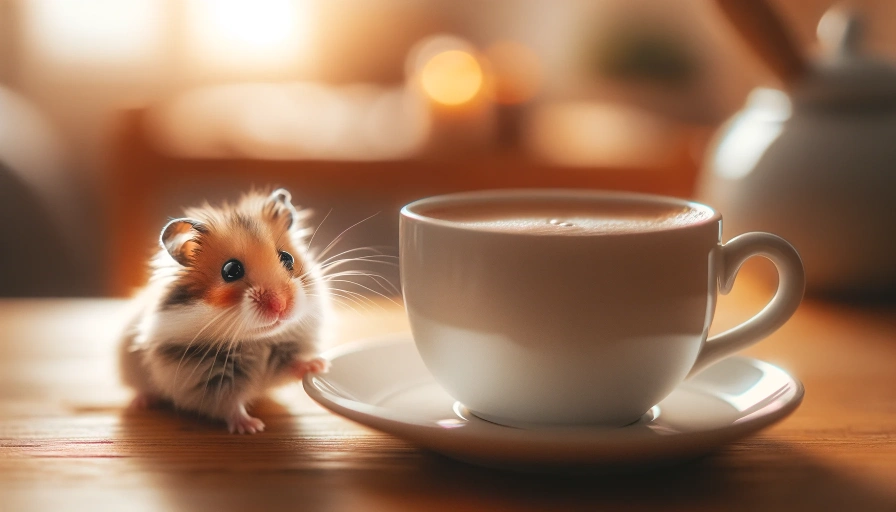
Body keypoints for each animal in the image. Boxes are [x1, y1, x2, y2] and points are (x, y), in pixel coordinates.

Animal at [119, 188, 332, 433]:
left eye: (287, 258)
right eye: (231, 270)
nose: (280, 305)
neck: (256, 342)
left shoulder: (283, 356)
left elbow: (293, 365)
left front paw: (319, 365)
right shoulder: (206, 382)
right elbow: (230, 405)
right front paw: (253, 428)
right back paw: (142, 402)